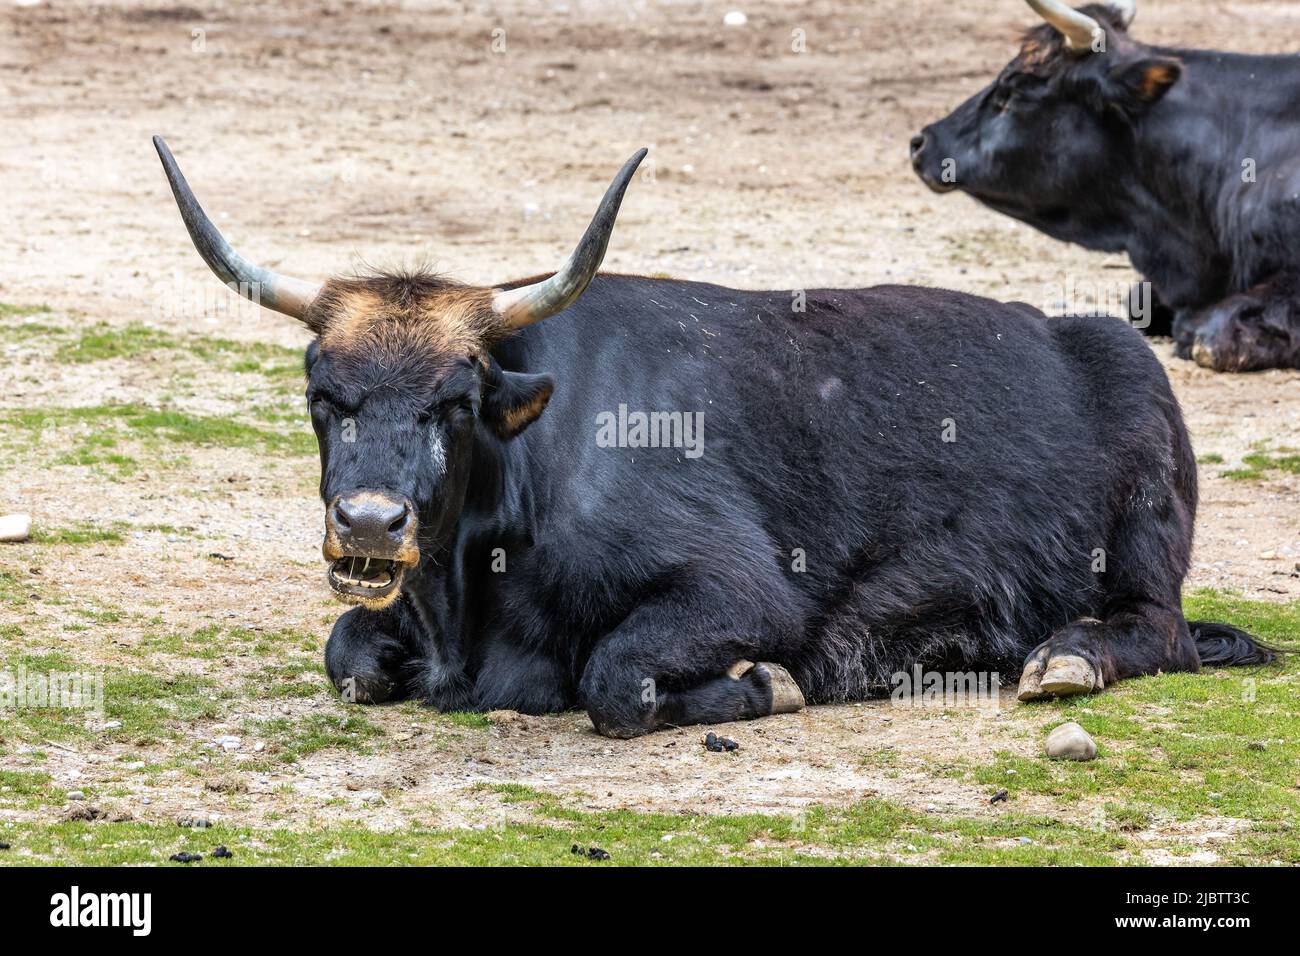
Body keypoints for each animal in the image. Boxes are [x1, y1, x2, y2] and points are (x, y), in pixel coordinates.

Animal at [154, 135, 1274, 739]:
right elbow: (346, 648)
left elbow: (614, 675)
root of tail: (1088, 333)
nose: (371, 524)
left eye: (455, 399)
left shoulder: (741, 590)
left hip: (1140, 544)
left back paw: (1064, 659)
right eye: (322, 393)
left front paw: (764, 685)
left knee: (1157, 628)